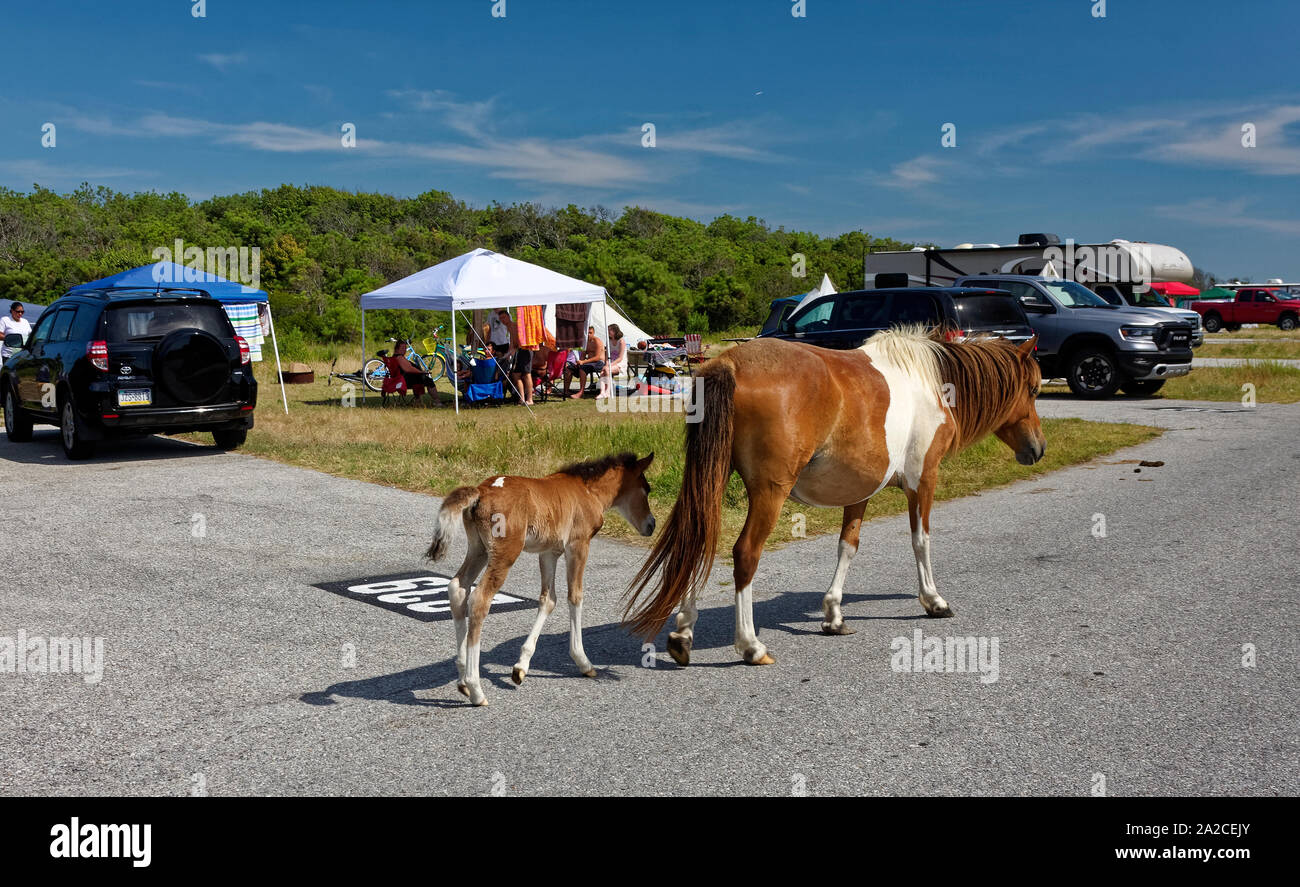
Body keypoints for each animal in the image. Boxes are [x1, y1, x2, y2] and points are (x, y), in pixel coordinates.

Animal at [427, 452, 656, 706]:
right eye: (646, 489)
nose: (652, 525)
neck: (587, 490)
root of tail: (481, 491)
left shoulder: (549, 552)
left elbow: (549, 599)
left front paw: (521, 668)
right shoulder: (578, 544)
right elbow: (575, 596)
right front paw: (583, 662)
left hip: (479, 549)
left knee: (458, 588)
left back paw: (462, 680)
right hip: (505, 552)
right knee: (479, 600)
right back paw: (476, 689)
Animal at [623, 327, 1044, 667]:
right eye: (1035, 388)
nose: (1038, 448)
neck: (931, 383)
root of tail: (730, 363)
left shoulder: (860, 490)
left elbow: (848, 546)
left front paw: (834, 615)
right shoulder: (923, 479)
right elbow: (920, 541)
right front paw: (933, 600)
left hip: (713, 480)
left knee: (698, 543)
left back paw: (682, 634)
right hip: (769, 494)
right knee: (744, 554)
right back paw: (750, 646)